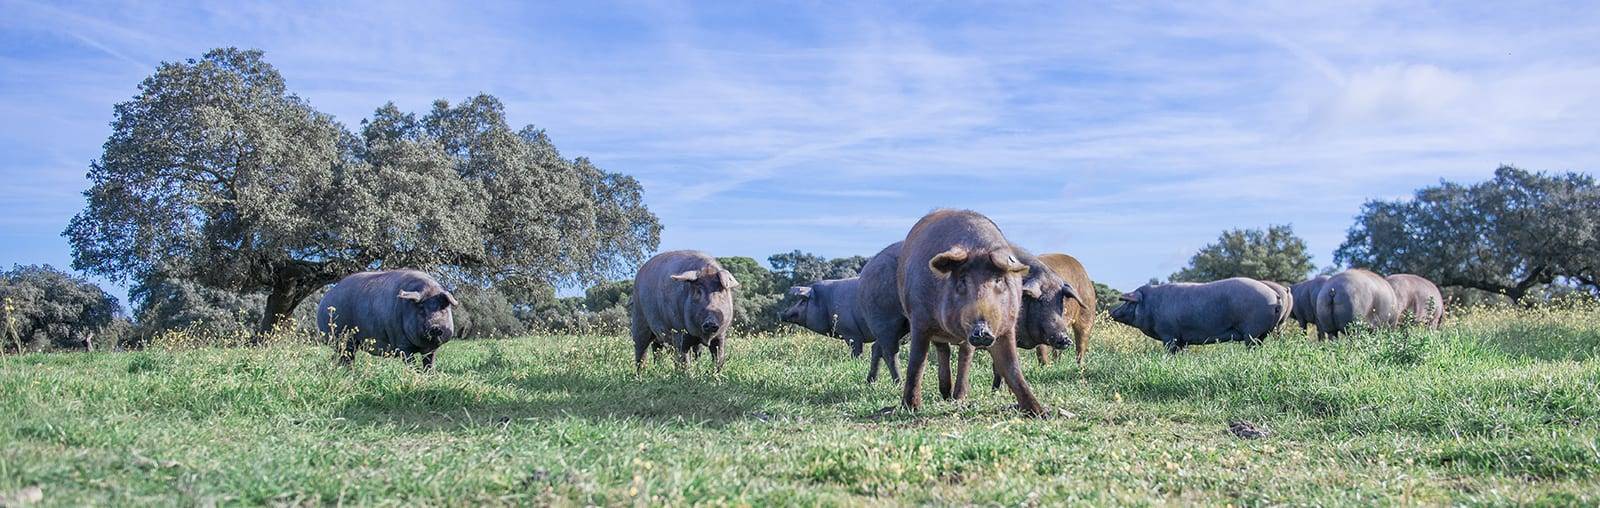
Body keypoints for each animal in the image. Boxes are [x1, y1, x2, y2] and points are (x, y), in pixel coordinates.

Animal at [317, 270, 459, 370]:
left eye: (443, 308)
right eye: (421, 309)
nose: (435, 327)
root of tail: (324, 300)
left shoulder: (431, 349)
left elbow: (429, 363)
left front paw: (430, 375)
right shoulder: (402, 344)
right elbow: (411, 363)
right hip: (343, 338)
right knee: (346, 356)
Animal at [855, 241, 909, 384]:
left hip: (903, 324)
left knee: (877, 347)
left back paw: (871, 382)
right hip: (885, 318)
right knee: (889, 351)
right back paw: (899, 384)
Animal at [897, 210, 1045, 416]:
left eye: (998, 280)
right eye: (962, 281)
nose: (981, 331)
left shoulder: (1006, 327)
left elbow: (1012, 367)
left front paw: (1041, 412)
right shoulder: (919, 320)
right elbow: (917, 363)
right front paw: (911, 408)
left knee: (964, 356)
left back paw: (957, 397)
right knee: (943, 351)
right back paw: (946, 394)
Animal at [1109, 278, 1283, 353]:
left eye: (1129, 302)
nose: (1112, 312)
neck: (1151, 305)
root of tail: (1274, 296)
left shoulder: (1168, 334)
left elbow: (1170, 350)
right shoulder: (1182, 338)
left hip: (1251, 331)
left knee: (1251, 344)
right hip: (1264, 332)